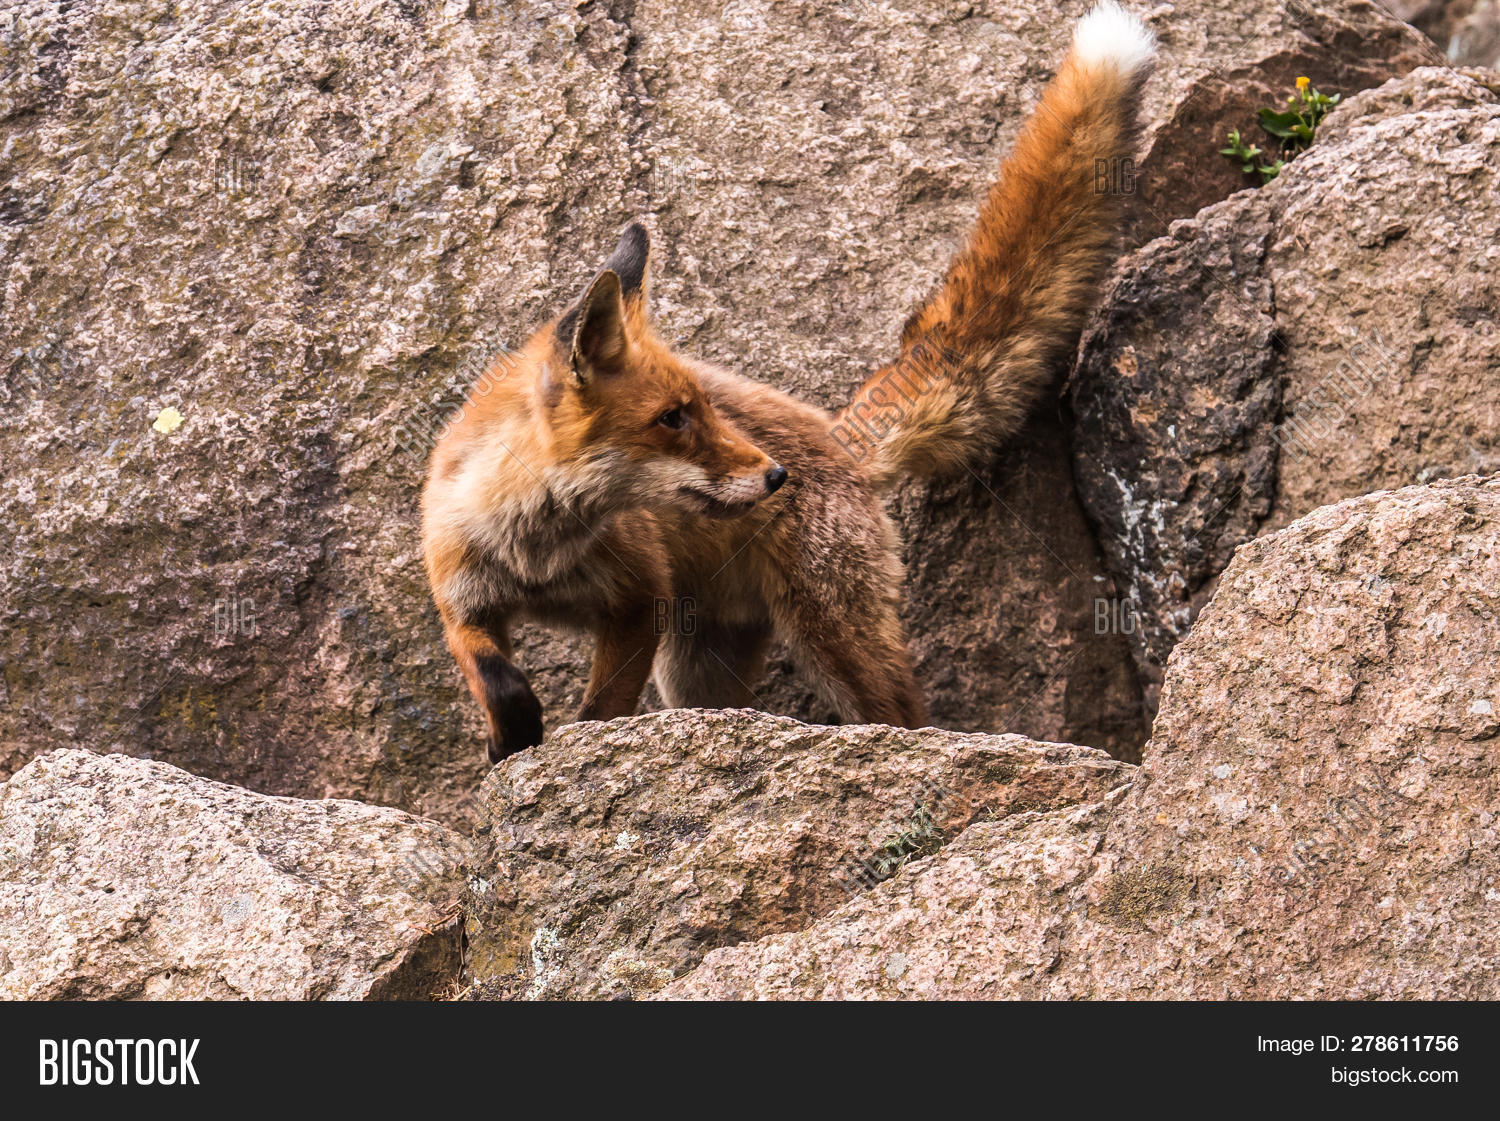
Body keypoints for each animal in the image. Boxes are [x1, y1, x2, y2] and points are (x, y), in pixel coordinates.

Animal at [422, 2, 1157, 763]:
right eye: (673, 417)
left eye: (705, 408)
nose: (776, 476)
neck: (539, 555)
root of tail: (839, 440)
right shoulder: (461, 595)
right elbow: (493, 673)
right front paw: (512, 739)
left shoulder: (637, 600)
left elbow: (602, 709)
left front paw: (570, 751)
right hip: (699, 668)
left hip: (835, 641)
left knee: (903, 718)